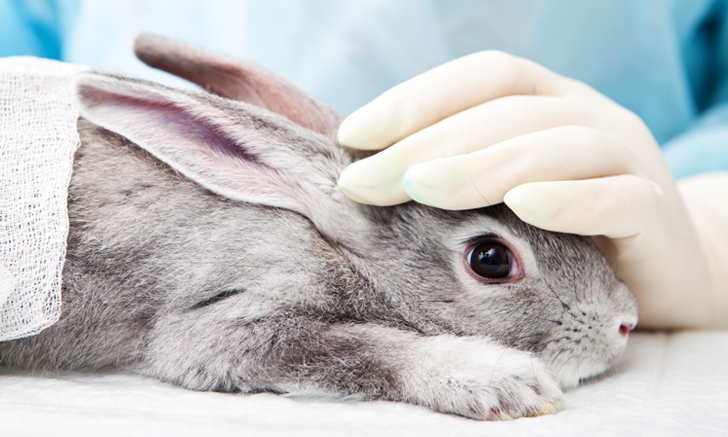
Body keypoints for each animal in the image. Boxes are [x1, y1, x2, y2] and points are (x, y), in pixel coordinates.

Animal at [0, 34, 638, 421]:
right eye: (491, 259)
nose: (626, 322)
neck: (332, 245)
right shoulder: (230, 319)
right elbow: (367, 349)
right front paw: (505, 381)